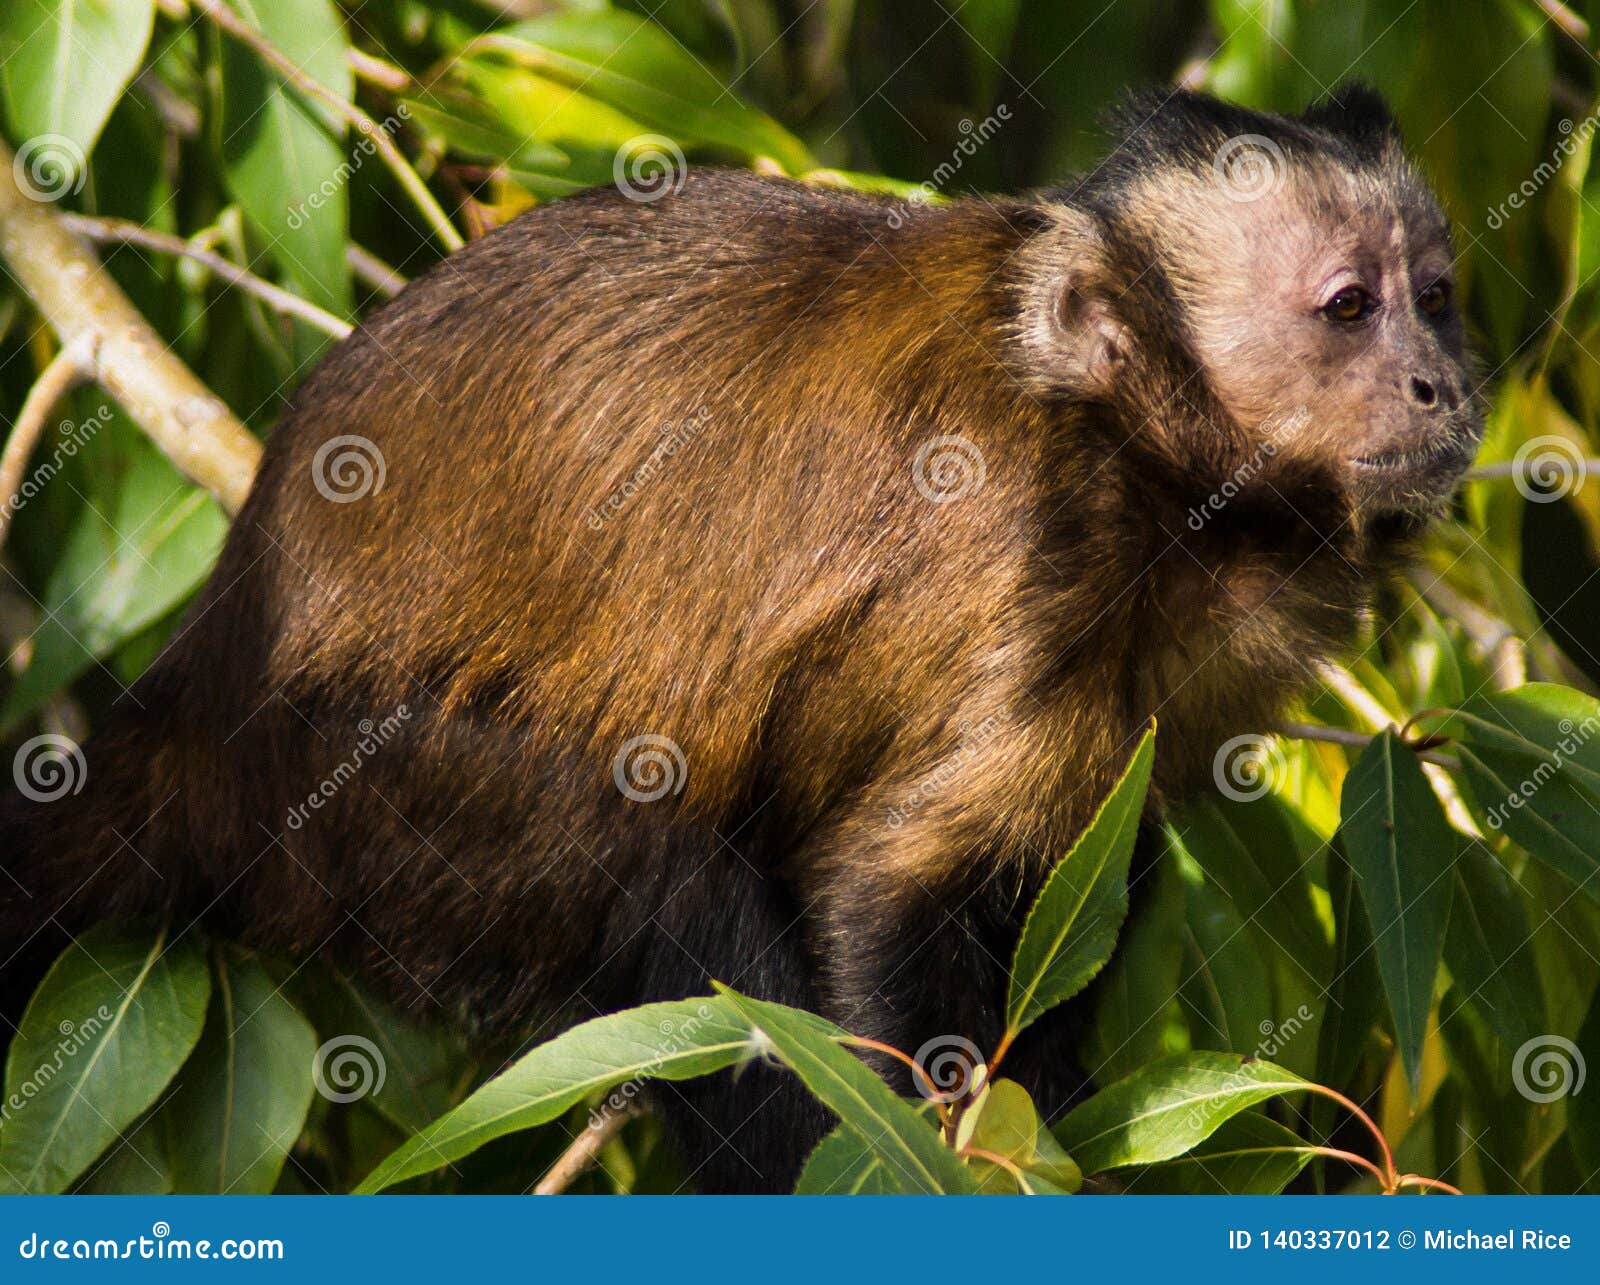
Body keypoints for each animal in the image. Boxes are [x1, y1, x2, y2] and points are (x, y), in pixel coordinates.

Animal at [0, 85, 1480, 1193]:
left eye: (1438, 296)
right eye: (1349, 306)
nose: (1443, 385)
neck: (1139, 449)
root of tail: (208, 681)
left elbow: (1089, 868)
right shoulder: (1022, 548)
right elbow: (890, 892)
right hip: (356, 788)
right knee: (656, 879)